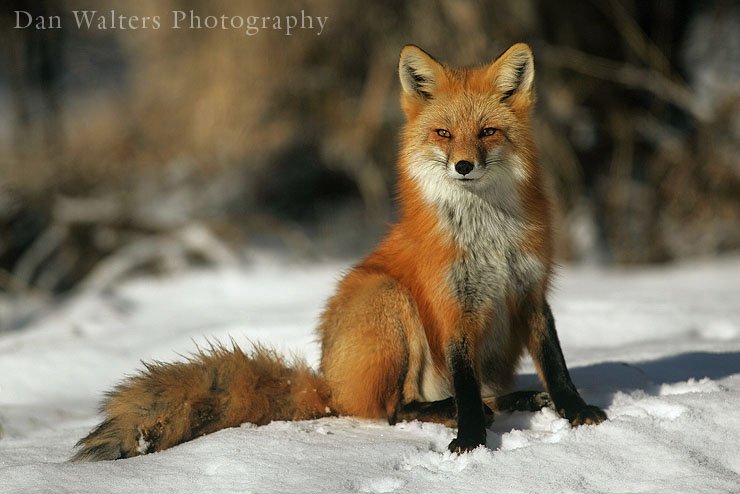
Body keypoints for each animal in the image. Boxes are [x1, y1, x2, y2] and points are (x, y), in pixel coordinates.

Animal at [72, 43, 607, 461]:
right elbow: (467, 384)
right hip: (389, 298)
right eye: (443, 133)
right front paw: (471, 439)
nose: (463, 165)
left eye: (488, 132)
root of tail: (328, 383)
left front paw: (576, 411)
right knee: (393, 411)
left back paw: (517, 401)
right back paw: (459, 412)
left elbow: (556, 363)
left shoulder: (530, 290)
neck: (487, 236)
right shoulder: (452, 303)